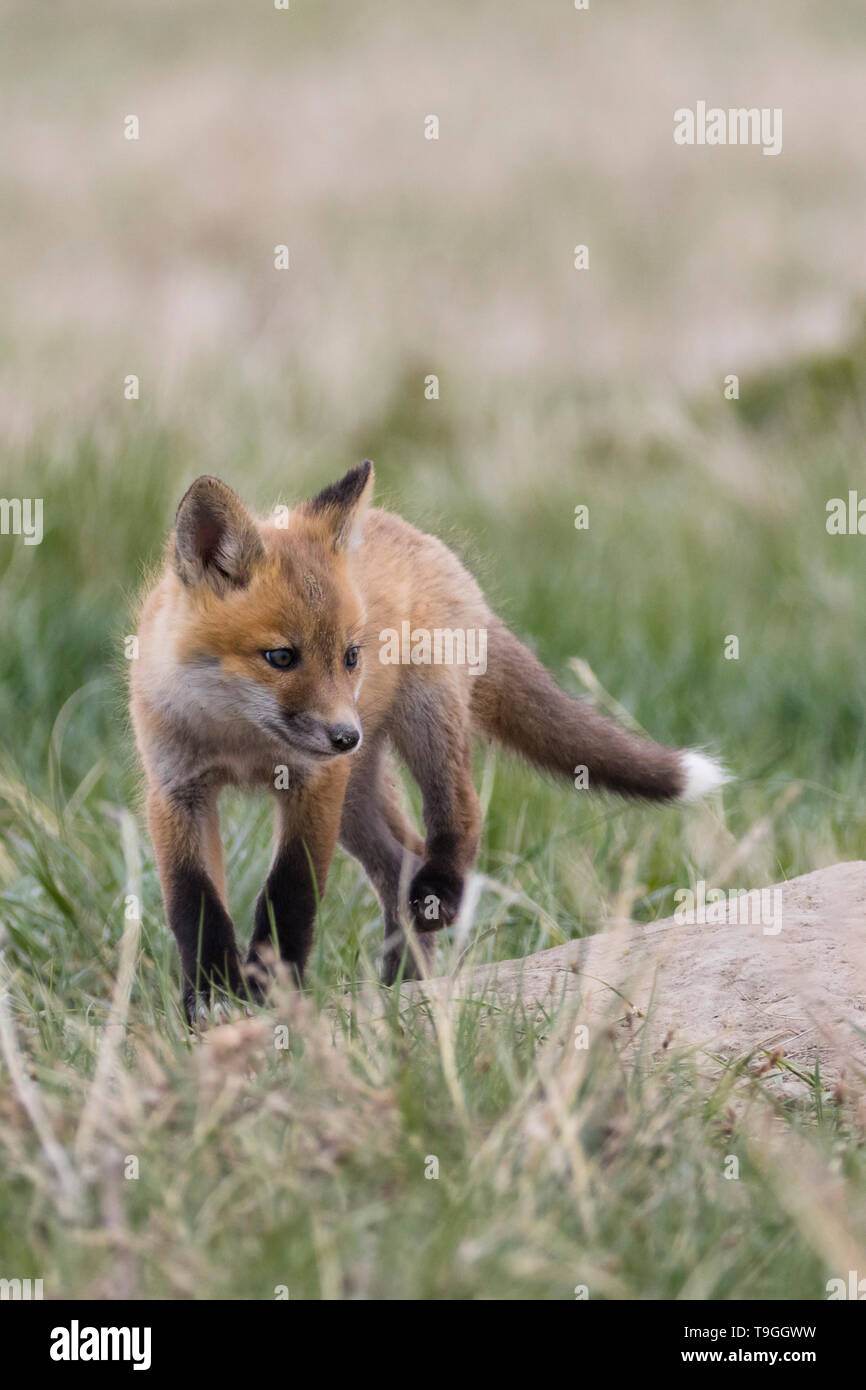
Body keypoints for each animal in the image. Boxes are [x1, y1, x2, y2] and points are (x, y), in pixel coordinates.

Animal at [130, 462, 727, 1022]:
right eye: (281, 657)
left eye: (350, 655)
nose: (346, 736)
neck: (239, 738)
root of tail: (423, 540)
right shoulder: (176, 791)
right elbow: (194, 902)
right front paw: (210, 995)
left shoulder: (312, 783)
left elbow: (291, 889)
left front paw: (273, 985)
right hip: (356, 800)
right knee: (402, 863)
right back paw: (402, 981)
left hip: (424, 722)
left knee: (459, 813)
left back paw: (437, 898)